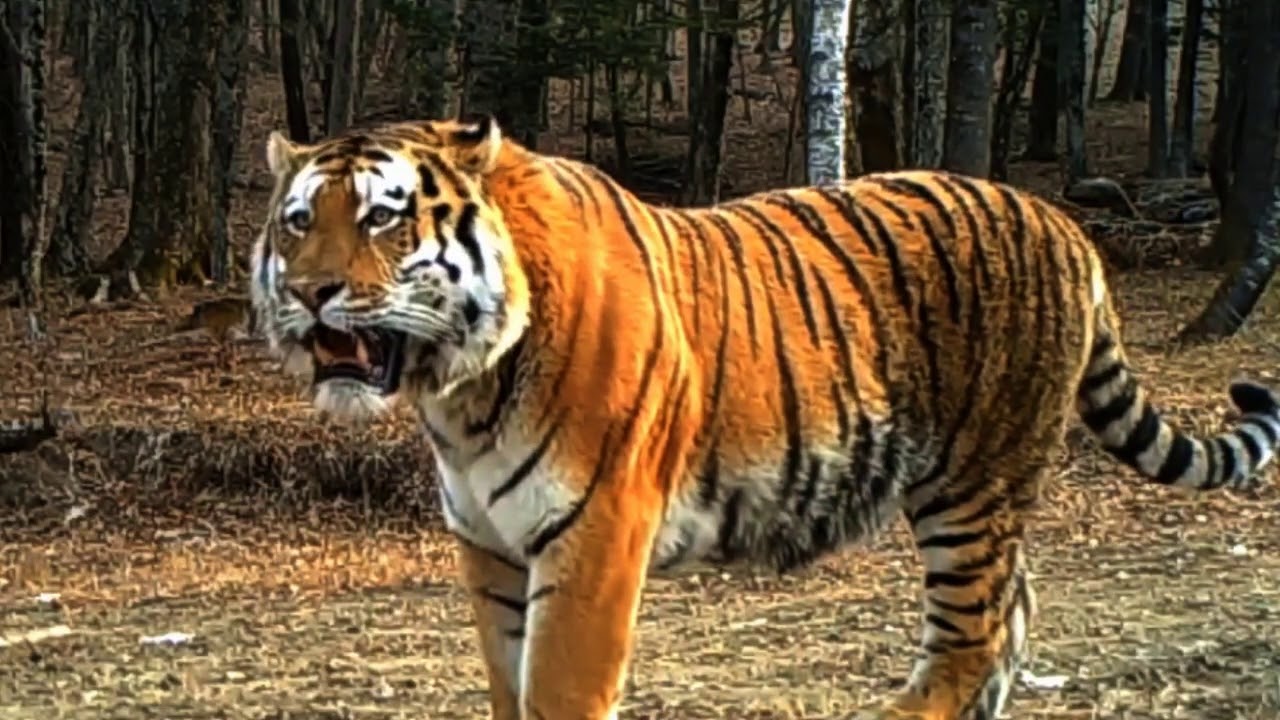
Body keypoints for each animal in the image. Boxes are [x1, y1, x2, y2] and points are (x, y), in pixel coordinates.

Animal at [248, 115, 1280, 720]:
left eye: (382, 218)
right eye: (299, 220)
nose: (308, 293)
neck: (461, 392)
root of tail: (1066, 224)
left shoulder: (595, 537)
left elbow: (560, 690)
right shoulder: (490, 546)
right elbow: (509, 686)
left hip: (973, 483)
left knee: (977, 630)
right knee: (1014, 612)